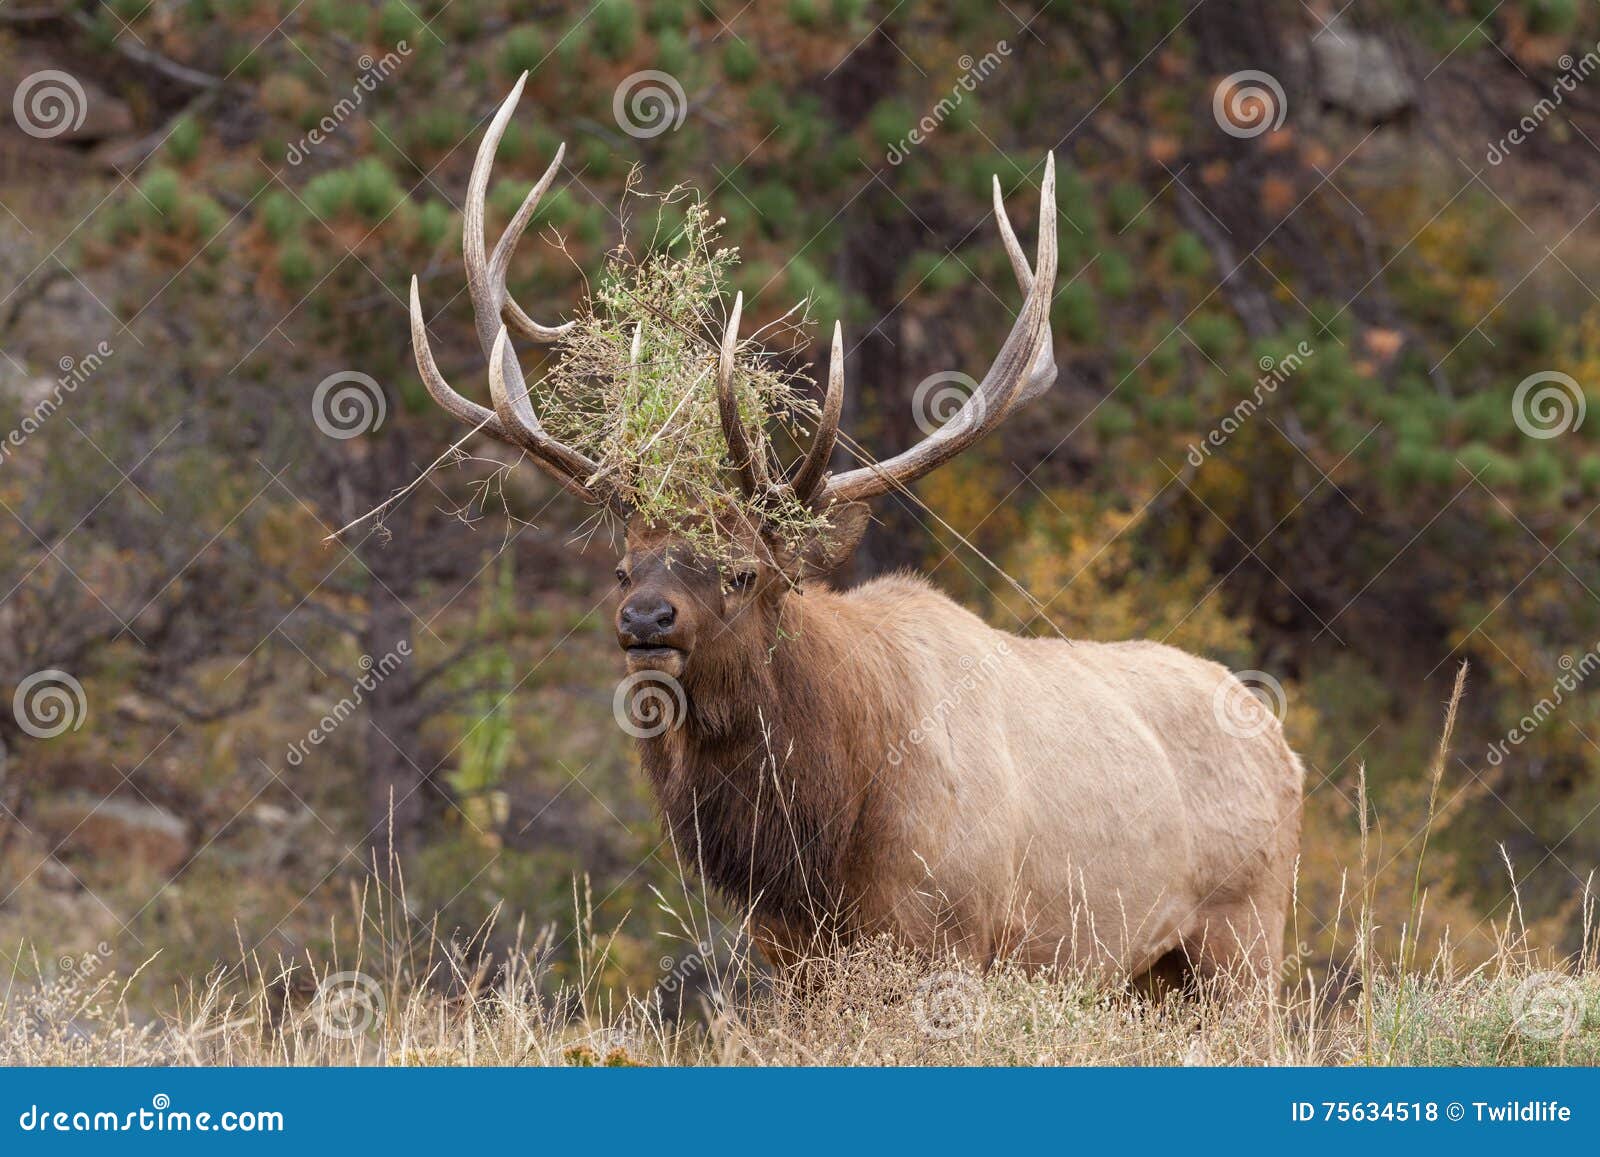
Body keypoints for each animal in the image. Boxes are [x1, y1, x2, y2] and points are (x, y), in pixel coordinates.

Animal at [407, 76, 1305, 992]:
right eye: (624, 568)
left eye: (744, 571)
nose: (647, 620)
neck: (822, 838)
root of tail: (1281, 738)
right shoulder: (788, 955)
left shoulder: (950, 937)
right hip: (1152, 972)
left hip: (1245, 937)